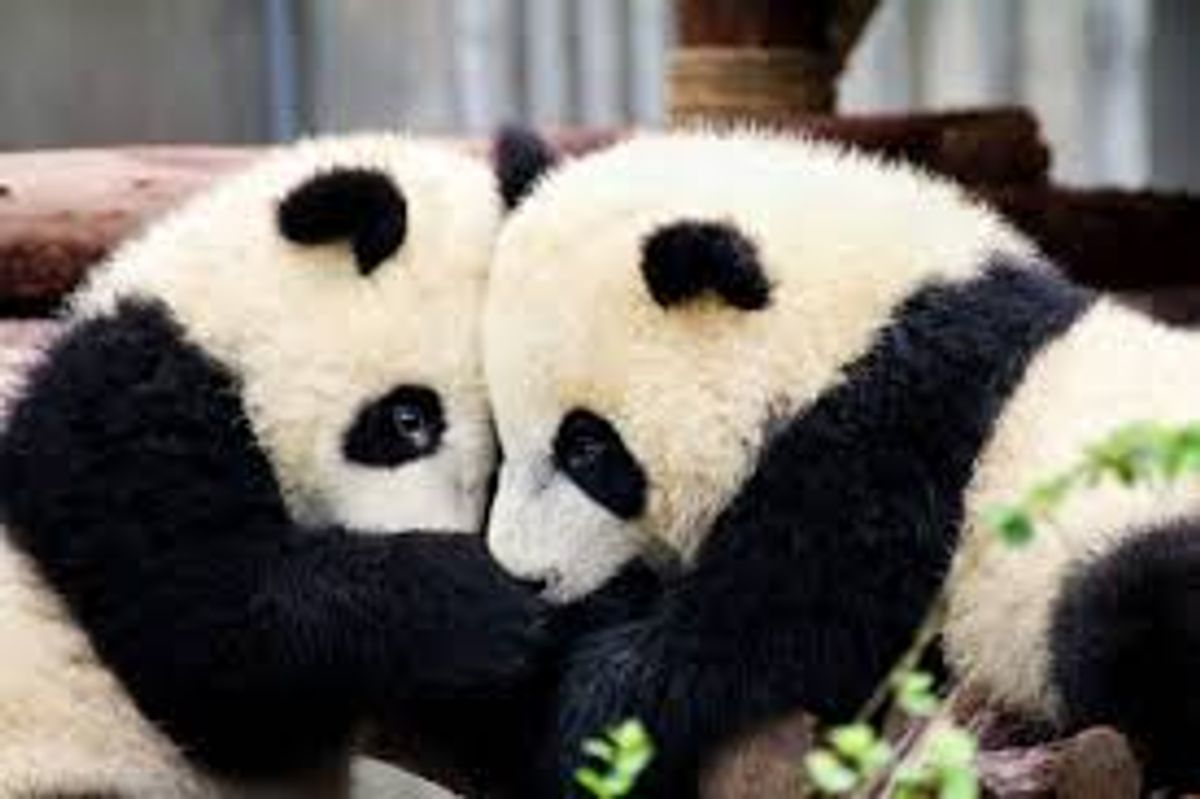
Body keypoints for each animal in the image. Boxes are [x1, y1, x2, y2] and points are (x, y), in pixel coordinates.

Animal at [482, 129, 1200, 795]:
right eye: (500, 432)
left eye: (587, 447)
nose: (524, 575)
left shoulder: (897, 436)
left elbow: (780, 631)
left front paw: (585, 720)